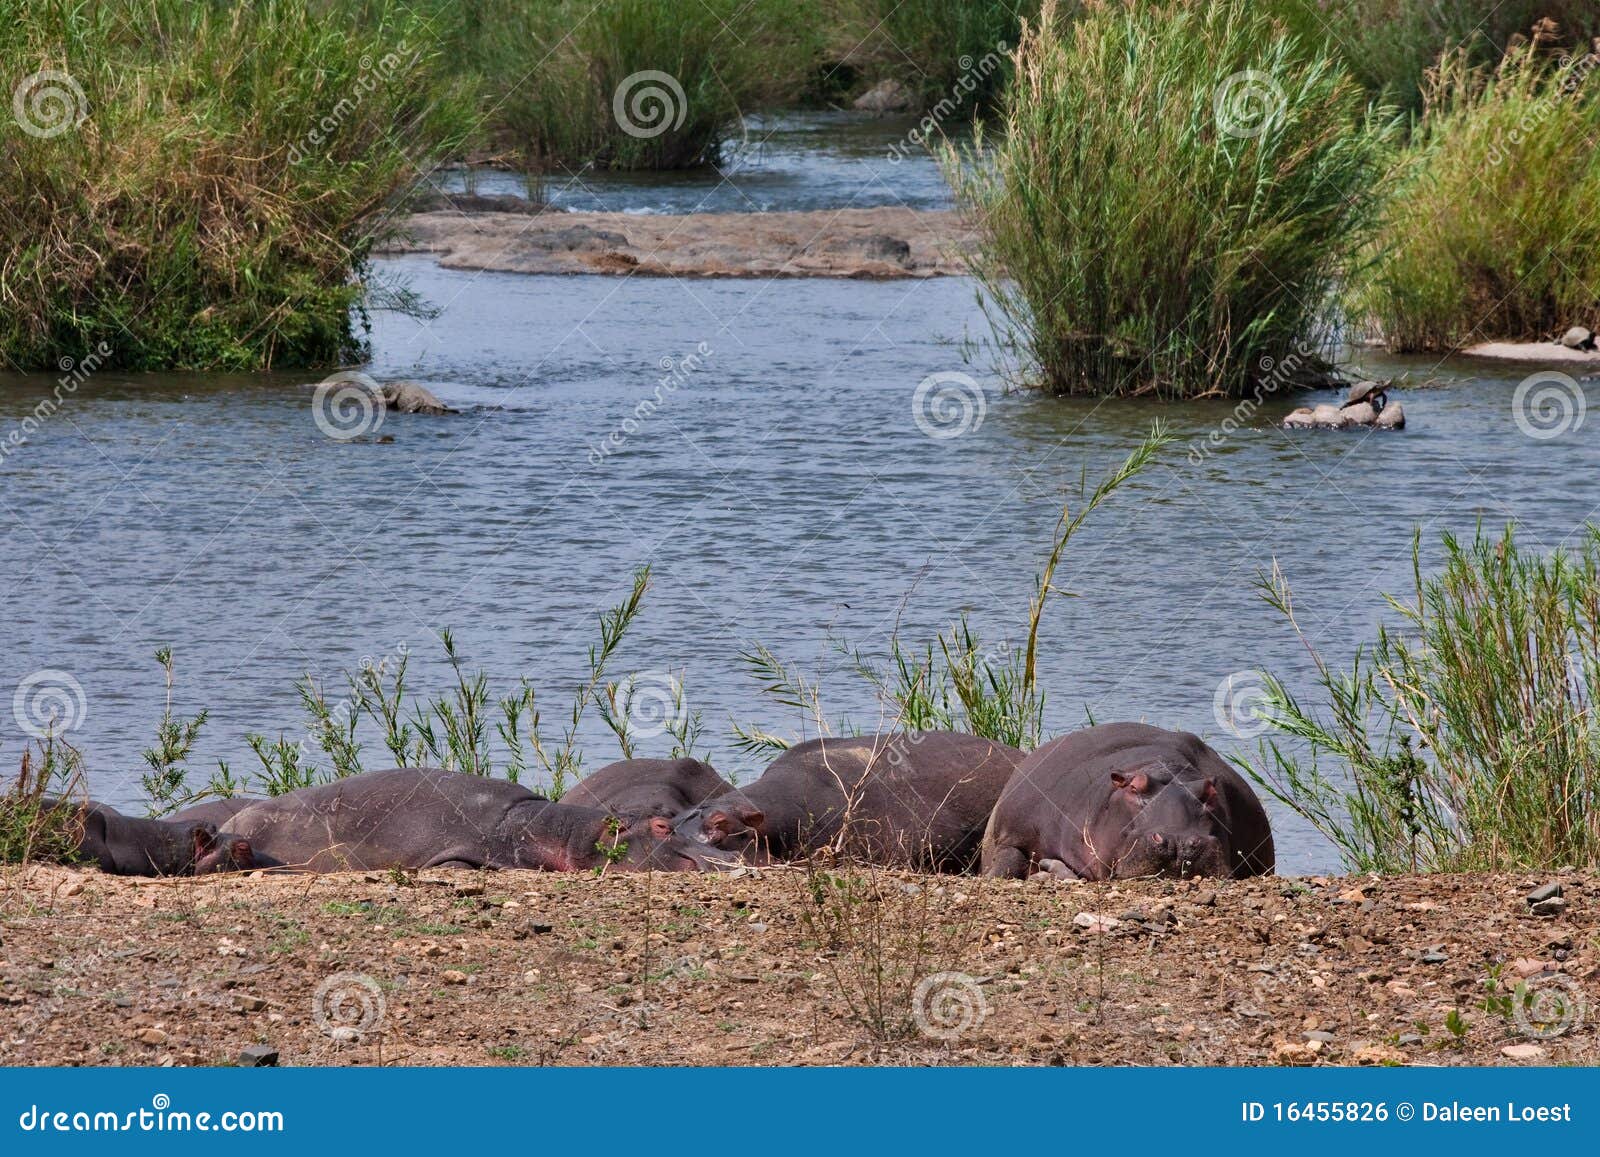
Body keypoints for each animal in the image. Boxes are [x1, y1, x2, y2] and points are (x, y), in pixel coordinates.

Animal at [980, 722, 1274, 880]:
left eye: (1210, 791)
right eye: (1134, 787)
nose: (1179, 842)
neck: (1165, 769)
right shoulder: (1014, 830)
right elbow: (1008, 860)